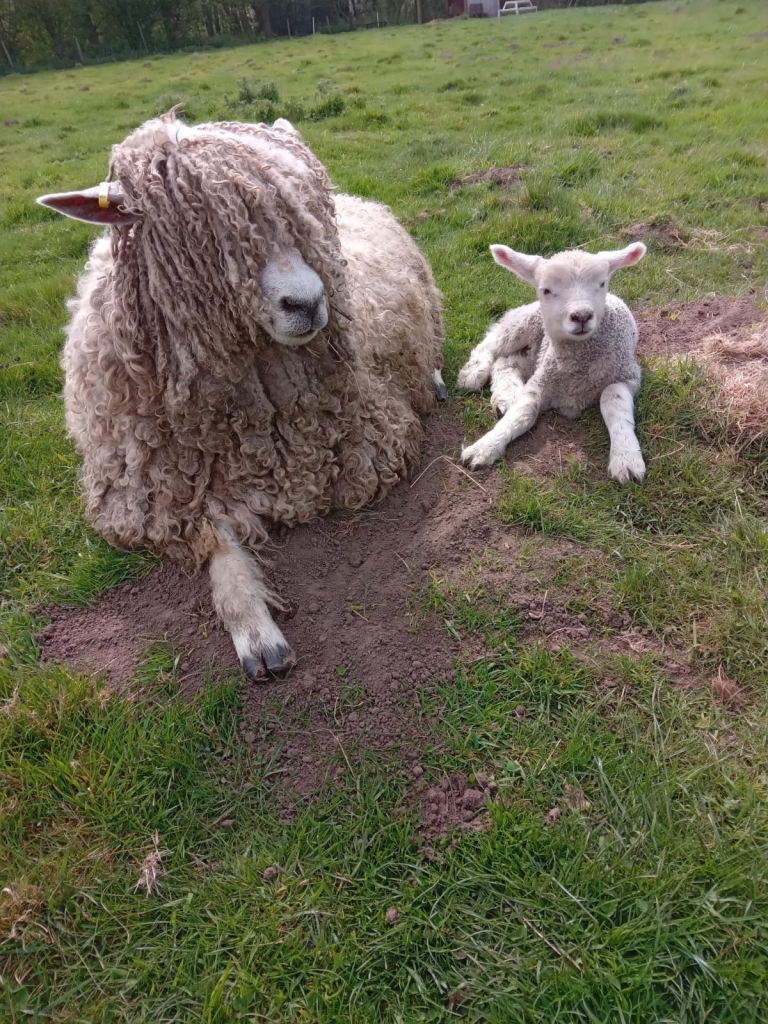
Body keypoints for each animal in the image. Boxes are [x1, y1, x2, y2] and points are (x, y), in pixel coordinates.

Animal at [37, 111, 445, 681]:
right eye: (197, 235)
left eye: (306, 220)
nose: (307, 303)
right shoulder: (162, 492)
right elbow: (217, 544)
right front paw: (255, 630)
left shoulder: (369, 444)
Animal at [457, 242, 647, 483]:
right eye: (546, 290)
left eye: (602, 283)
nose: (582, 316)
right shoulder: (541, 381)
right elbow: (525, 412)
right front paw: (485, 446)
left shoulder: (626, 375)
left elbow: (612, 400)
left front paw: (626, 458)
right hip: (521, 325)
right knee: (491, 344)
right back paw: (473, 374)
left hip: (534, 351)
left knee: (505, 362)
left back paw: (507, 396)